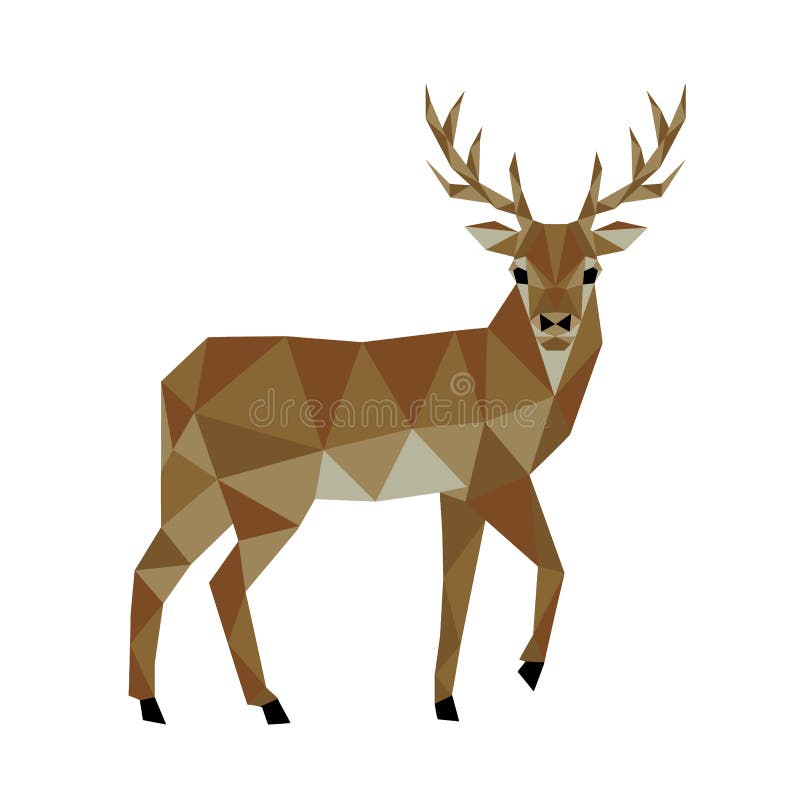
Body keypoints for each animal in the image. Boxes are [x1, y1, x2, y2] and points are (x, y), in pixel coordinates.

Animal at [130, 86, 686, 726]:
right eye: (518, 271)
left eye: (593, 270)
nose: (555, 322)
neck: (505, 378)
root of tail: (177, 380)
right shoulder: (497, 479)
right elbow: (555, 564)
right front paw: (528, 669)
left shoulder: (458, 494)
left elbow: (456, 592)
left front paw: (445, 702)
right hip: (268, 500)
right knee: (221, 582)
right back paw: (271, 705)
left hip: (196, 490)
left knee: (153, 571)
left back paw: (153, 705)